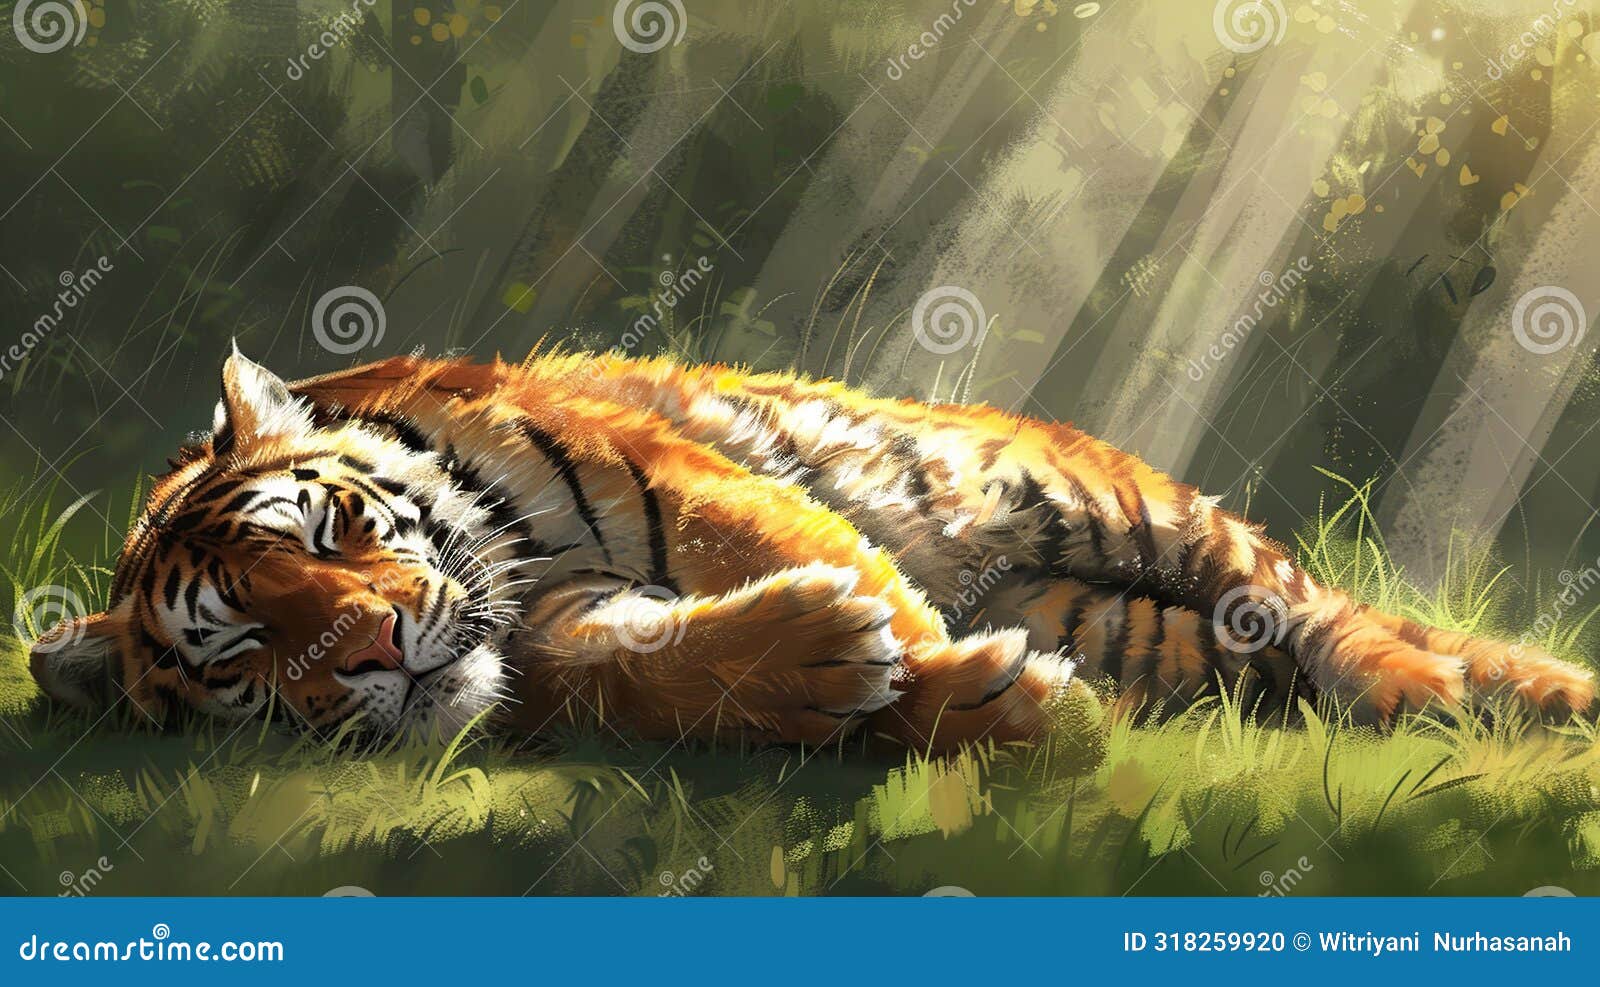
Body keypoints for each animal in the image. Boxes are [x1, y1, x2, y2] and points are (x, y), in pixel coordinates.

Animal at [26, 348, 1596, 750]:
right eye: (245, 652)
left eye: (336, 529)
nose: (376, 655)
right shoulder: (562, 631)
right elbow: (638, 672)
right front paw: (887, 678)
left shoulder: (689, 485)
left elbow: (807, 545)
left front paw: (931, 668)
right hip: (1118, 615)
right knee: (1245, 647)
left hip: (1115, 506)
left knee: (1302, 604)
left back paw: (1422, 690)